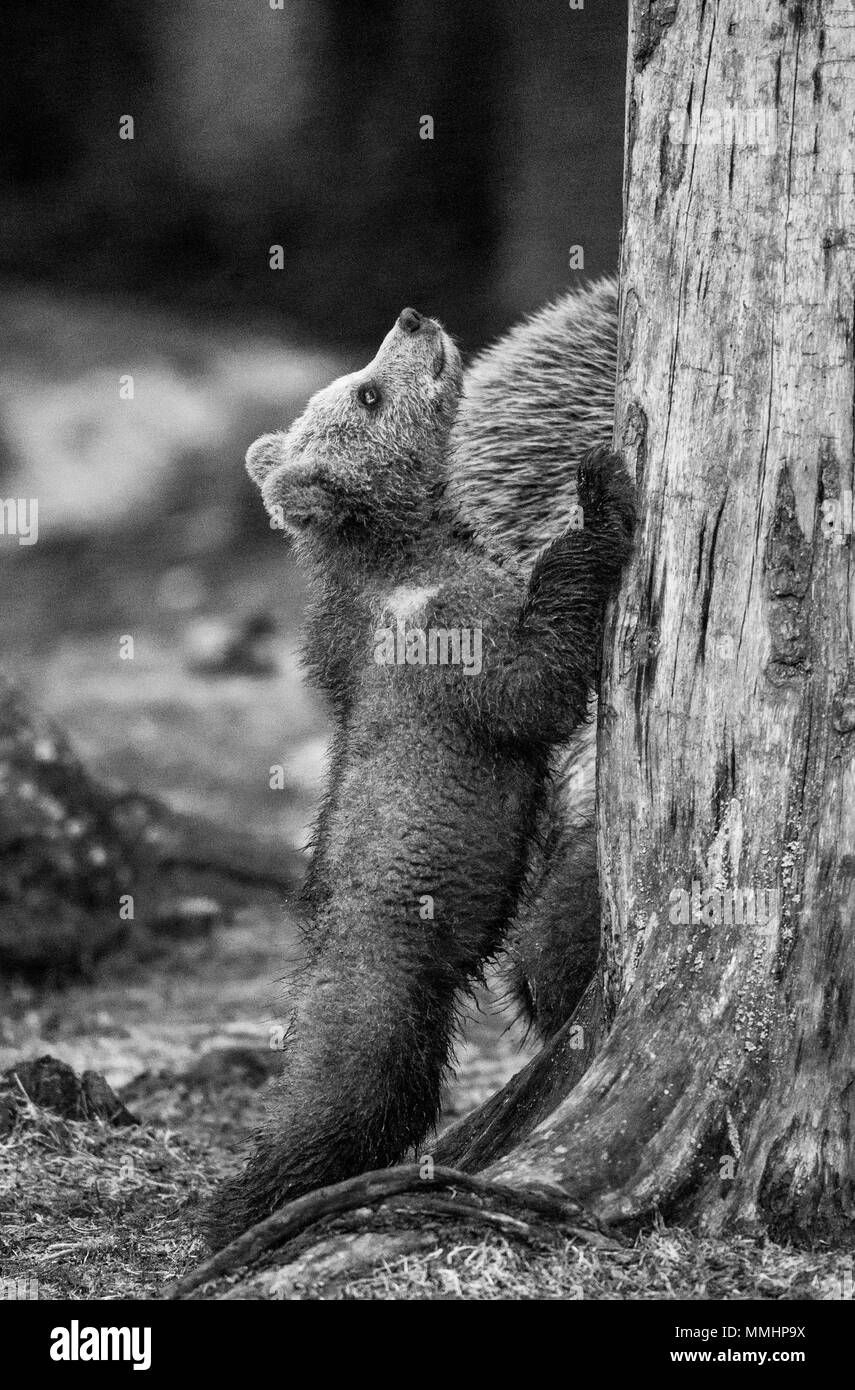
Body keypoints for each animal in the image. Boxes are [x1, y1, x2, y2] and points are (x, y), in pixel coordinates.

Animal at [207, 301, 633, 1247]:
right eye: (366, 392)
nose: (412, 317)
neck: (411, 549)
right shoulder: (449, 640)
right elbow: (534, 687)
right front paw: (597, 505)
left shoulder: (343, 645)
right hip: (390, 988)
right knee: (353, 1100)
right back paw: (252, 1207)